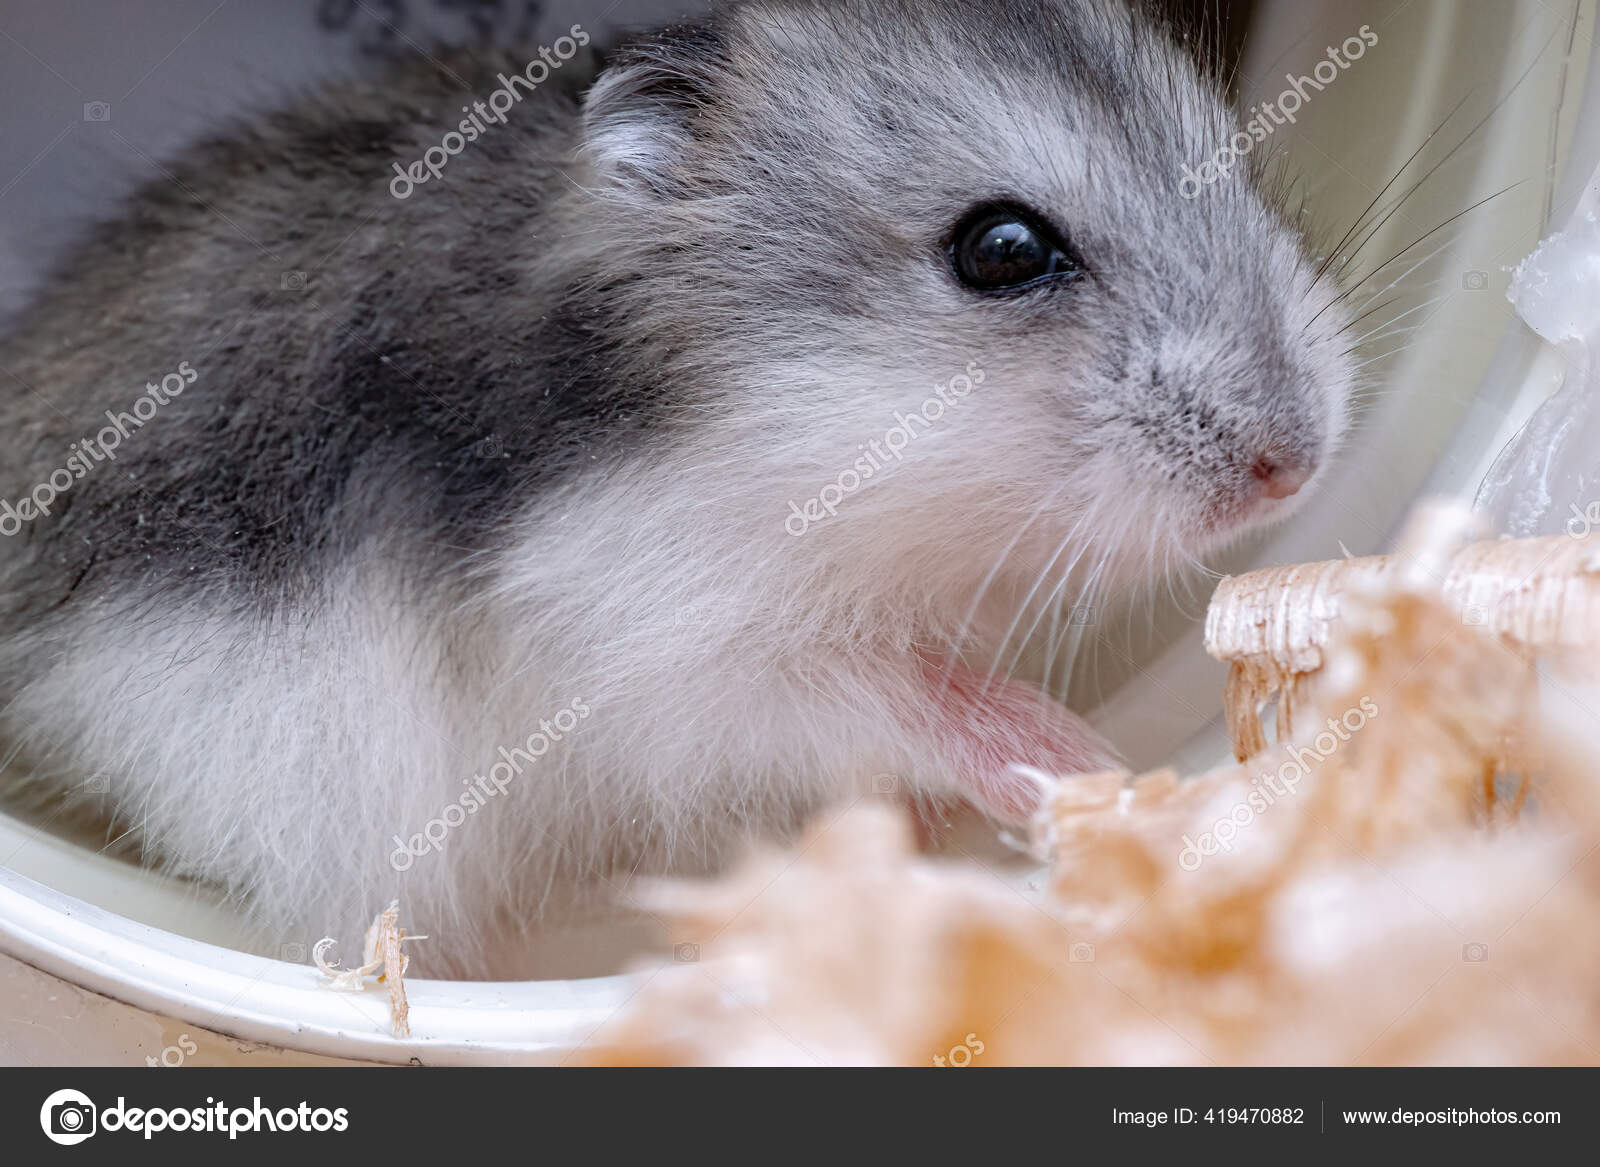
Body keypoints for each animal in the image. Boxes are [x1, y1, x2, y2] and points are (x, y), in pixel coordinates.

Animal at [0, 0, 1352, 977]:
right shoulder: (668, 664)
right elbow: (904, 691)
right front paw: (1089, 773)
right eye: (1002, 251)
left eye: (1231, 156)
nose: (1295, 464)